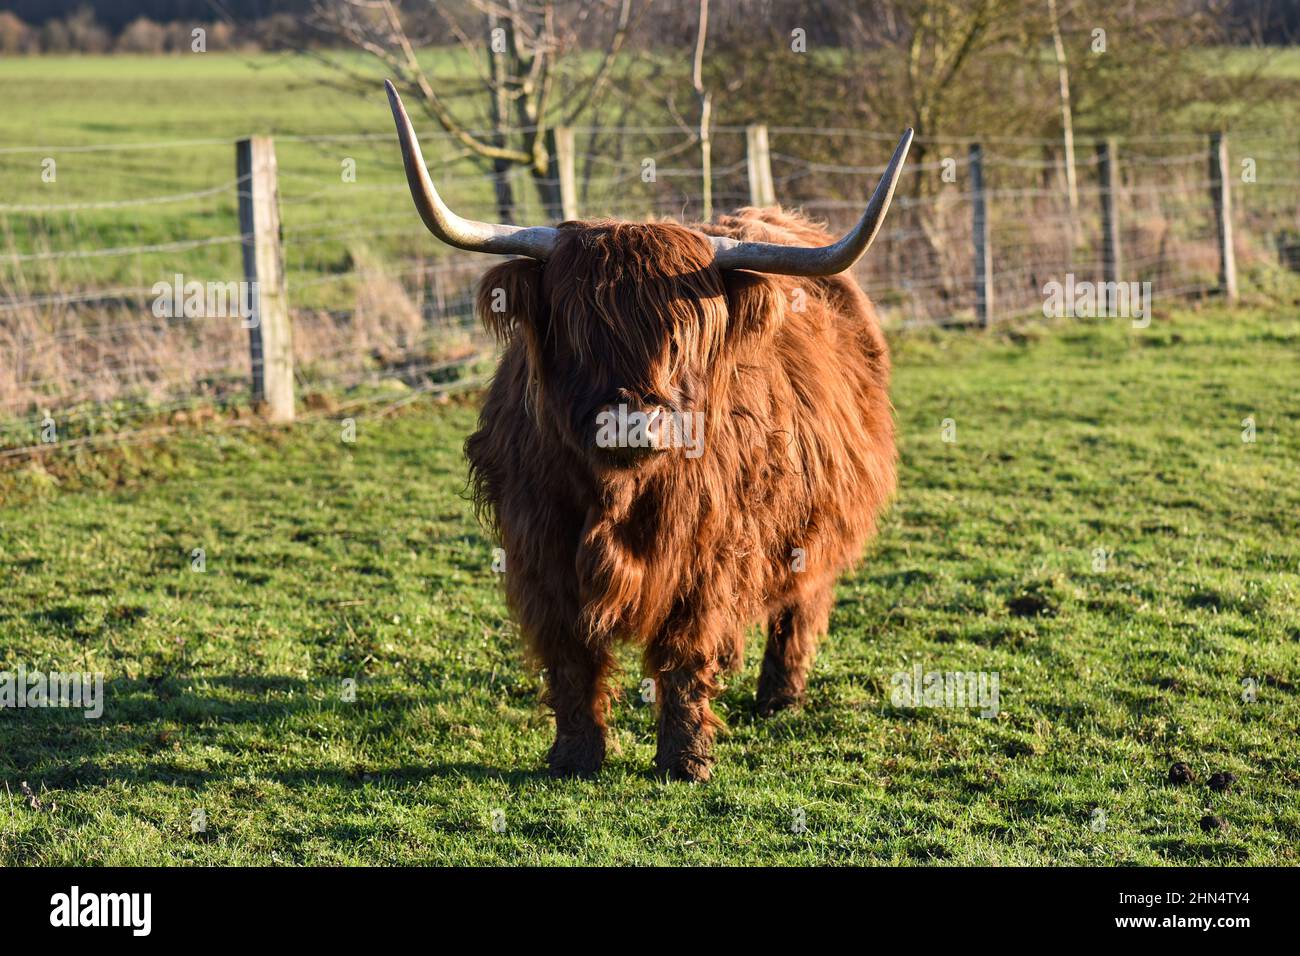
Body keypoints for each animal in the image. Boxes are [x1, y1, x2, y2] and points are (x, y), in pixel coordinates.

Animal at [385, 80, 912, 781]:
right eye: (579, 327)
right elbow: (571, 658)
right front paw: (576, 755)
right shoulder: (541, 549)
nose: (635, 421)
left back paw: (780, 697)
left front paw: (685, 758)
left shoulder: (710, 552)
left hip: (818, 520)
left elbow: (685, 652)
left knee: (801, 603)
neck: (619, 494)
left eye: (687, 334)